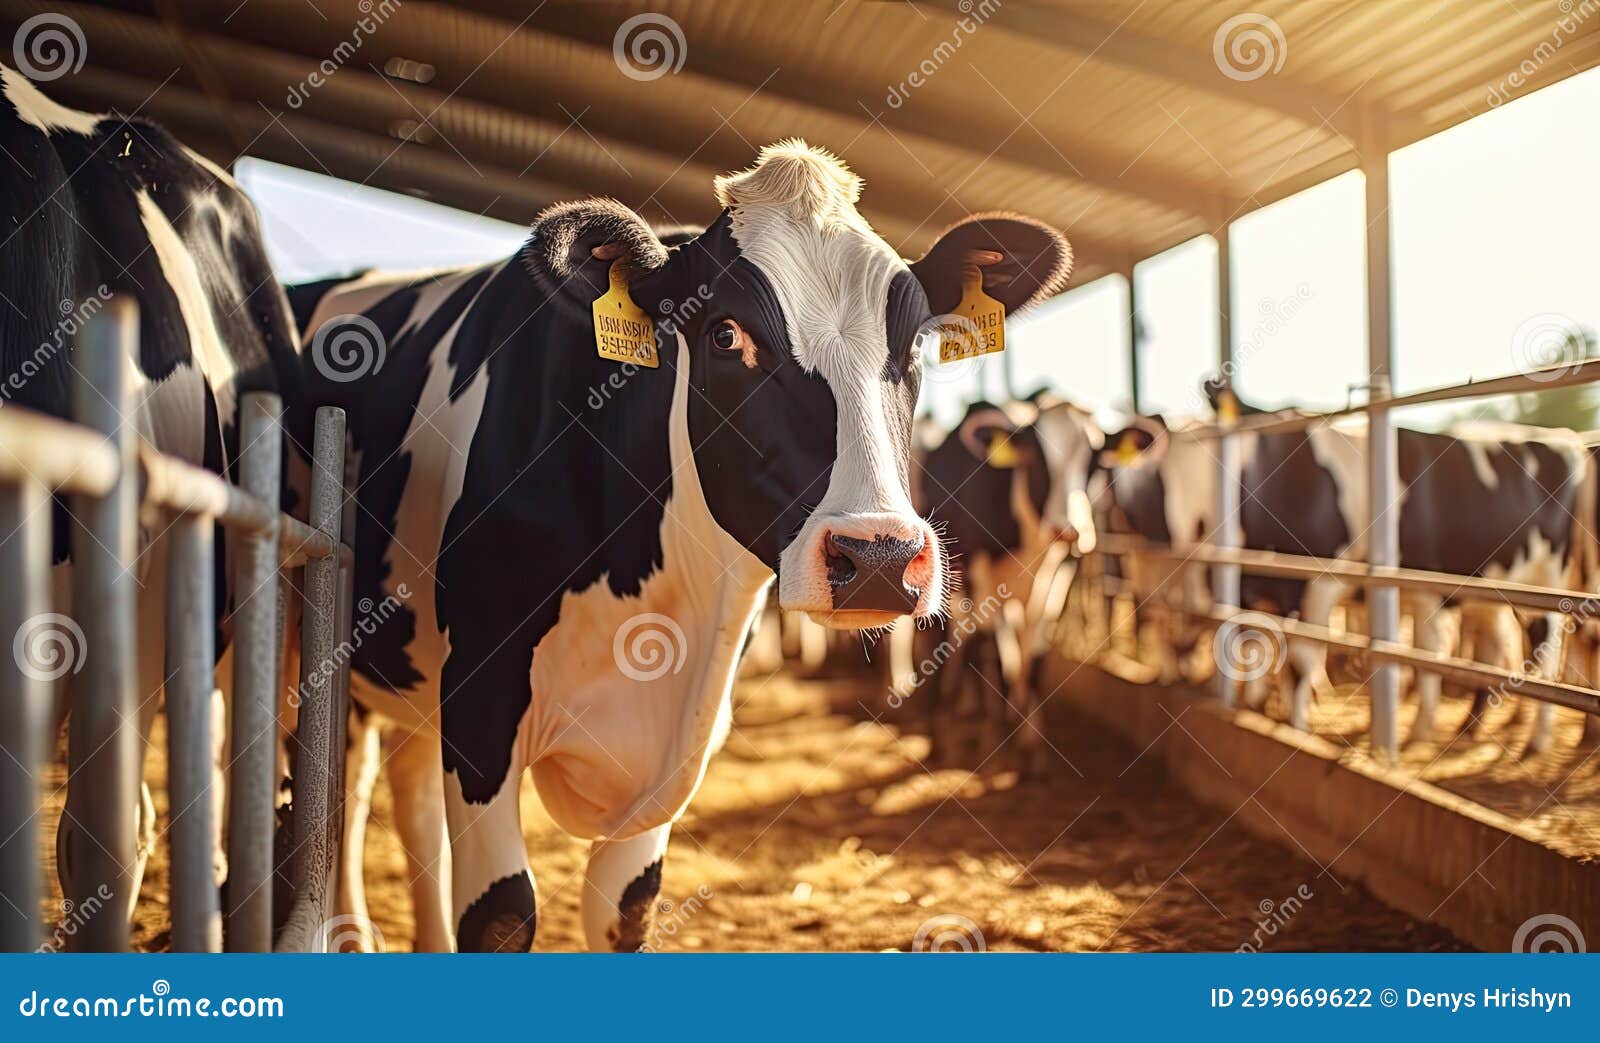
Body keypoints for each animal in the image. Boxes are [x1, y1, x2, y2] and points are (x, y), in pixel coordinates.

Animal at [287, 140, 1071, 951]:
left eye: (915, 343)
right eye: (726, 335)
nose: (880, 558)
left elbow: (625, 909)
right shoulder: (480, 700)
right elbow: (503, 911)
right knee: (342, 778)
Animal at [1101, 384, 1588, 755]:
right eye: (1160, 468)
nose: (1179, 526)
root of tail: (1561, 439)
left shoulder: (1317, 582)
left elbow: (1299, 660)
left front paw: (1296, 726)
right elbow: (1254, 645)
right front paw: (1256, 704)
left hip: (1547, 585)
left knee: (1545, 655)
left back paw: (1535, 741)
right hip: (1487, 589)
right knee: (1490, 647)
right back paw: (1455, 729)